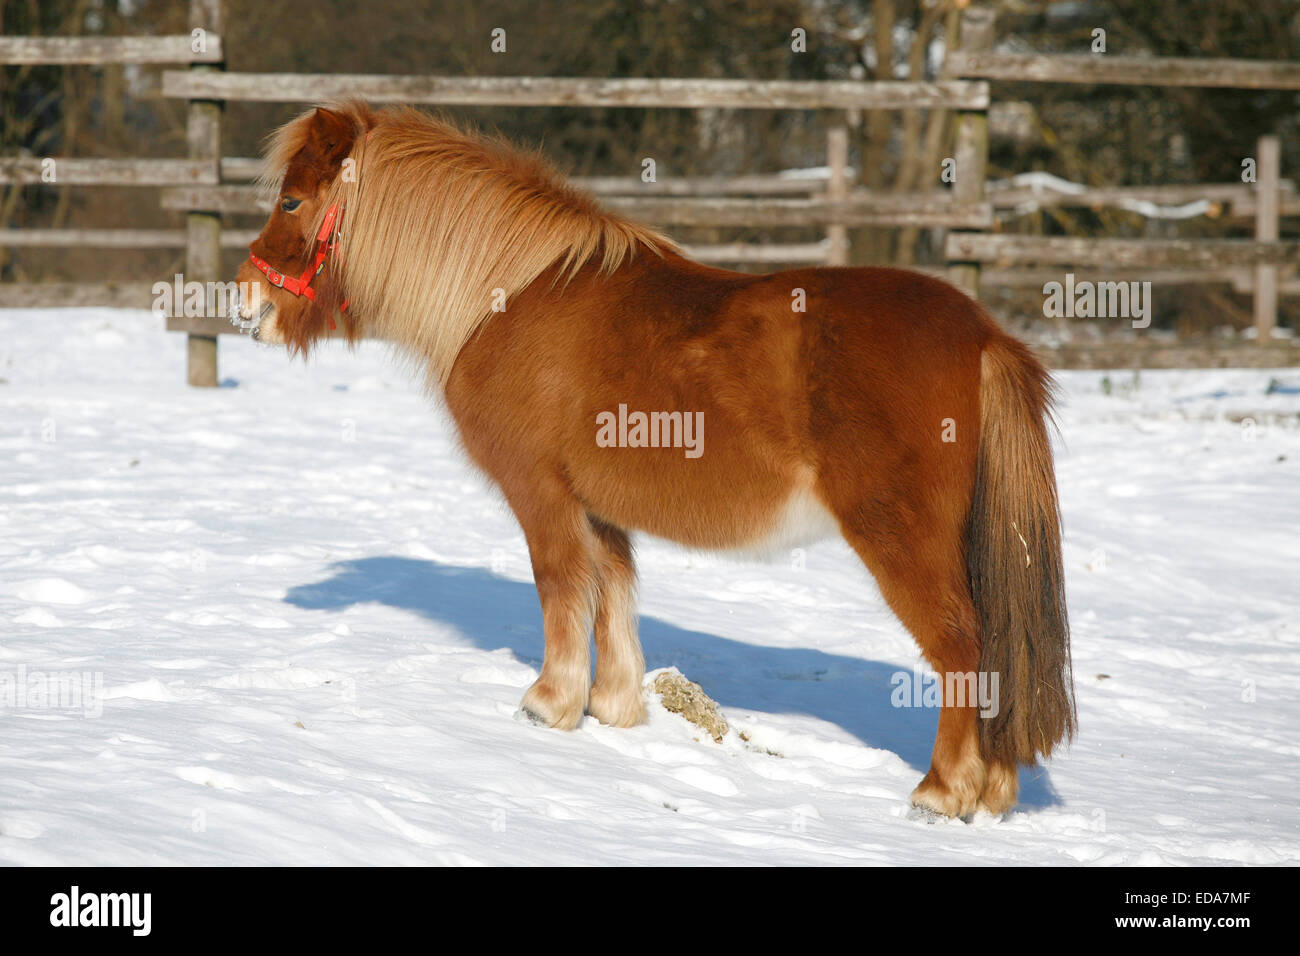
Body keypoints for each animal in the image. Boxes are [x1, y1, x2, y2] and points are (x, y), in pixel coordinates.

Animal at [232, 100, 1075, 819]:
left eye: (292, 203)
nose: (246, 301)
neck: (507, 297)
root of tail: (983, 336)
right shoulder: (600, 506)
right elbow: (613, 593)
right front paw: (612, 707)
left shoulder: (541, 493)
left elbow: (561, 586)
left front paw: (549, 703)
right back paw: (994, 791)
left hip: (900, 539)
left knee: (963, 644)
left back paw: (942, 791)